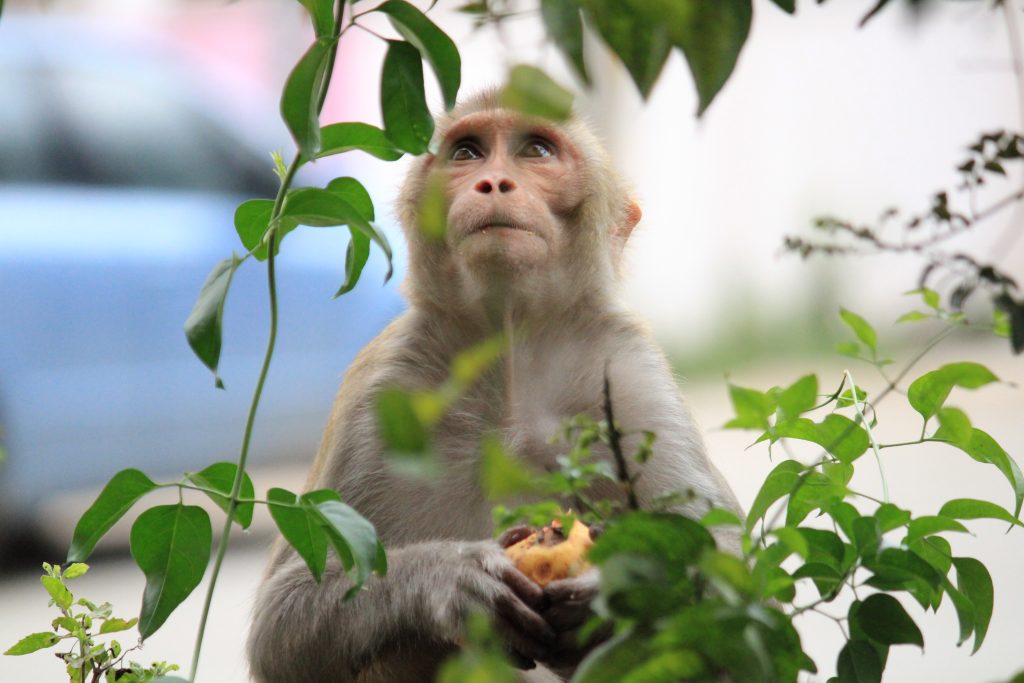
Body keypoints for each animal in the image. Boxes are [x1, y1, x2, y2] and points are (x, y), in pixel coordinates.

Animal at [247, 89, 743, 683]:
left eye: (536, 150)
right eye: (467, 153)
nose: (494, 182)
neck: (508, 361)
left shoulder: (633, 375)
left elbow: (736, 573)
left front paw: (609, 590)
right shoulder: (380, 391)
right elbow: (281, 623)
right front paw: (449, 578)